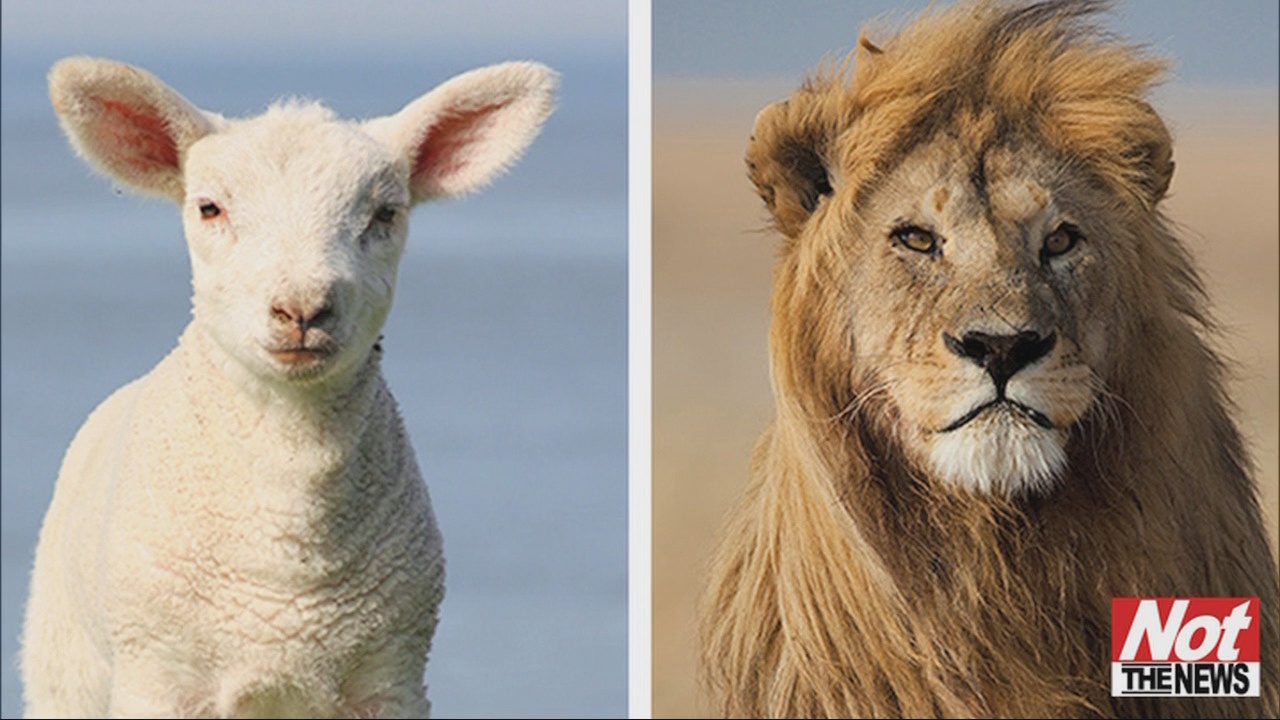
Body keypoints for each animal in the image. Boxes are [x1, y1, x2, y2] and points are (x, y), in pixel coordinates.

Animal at [20, 56, 556, 719]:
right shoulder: (161, 676)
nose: (302, 308)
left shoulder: (390, 679)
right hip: (63, 669)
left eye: (385, 214)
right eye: (209, 208)